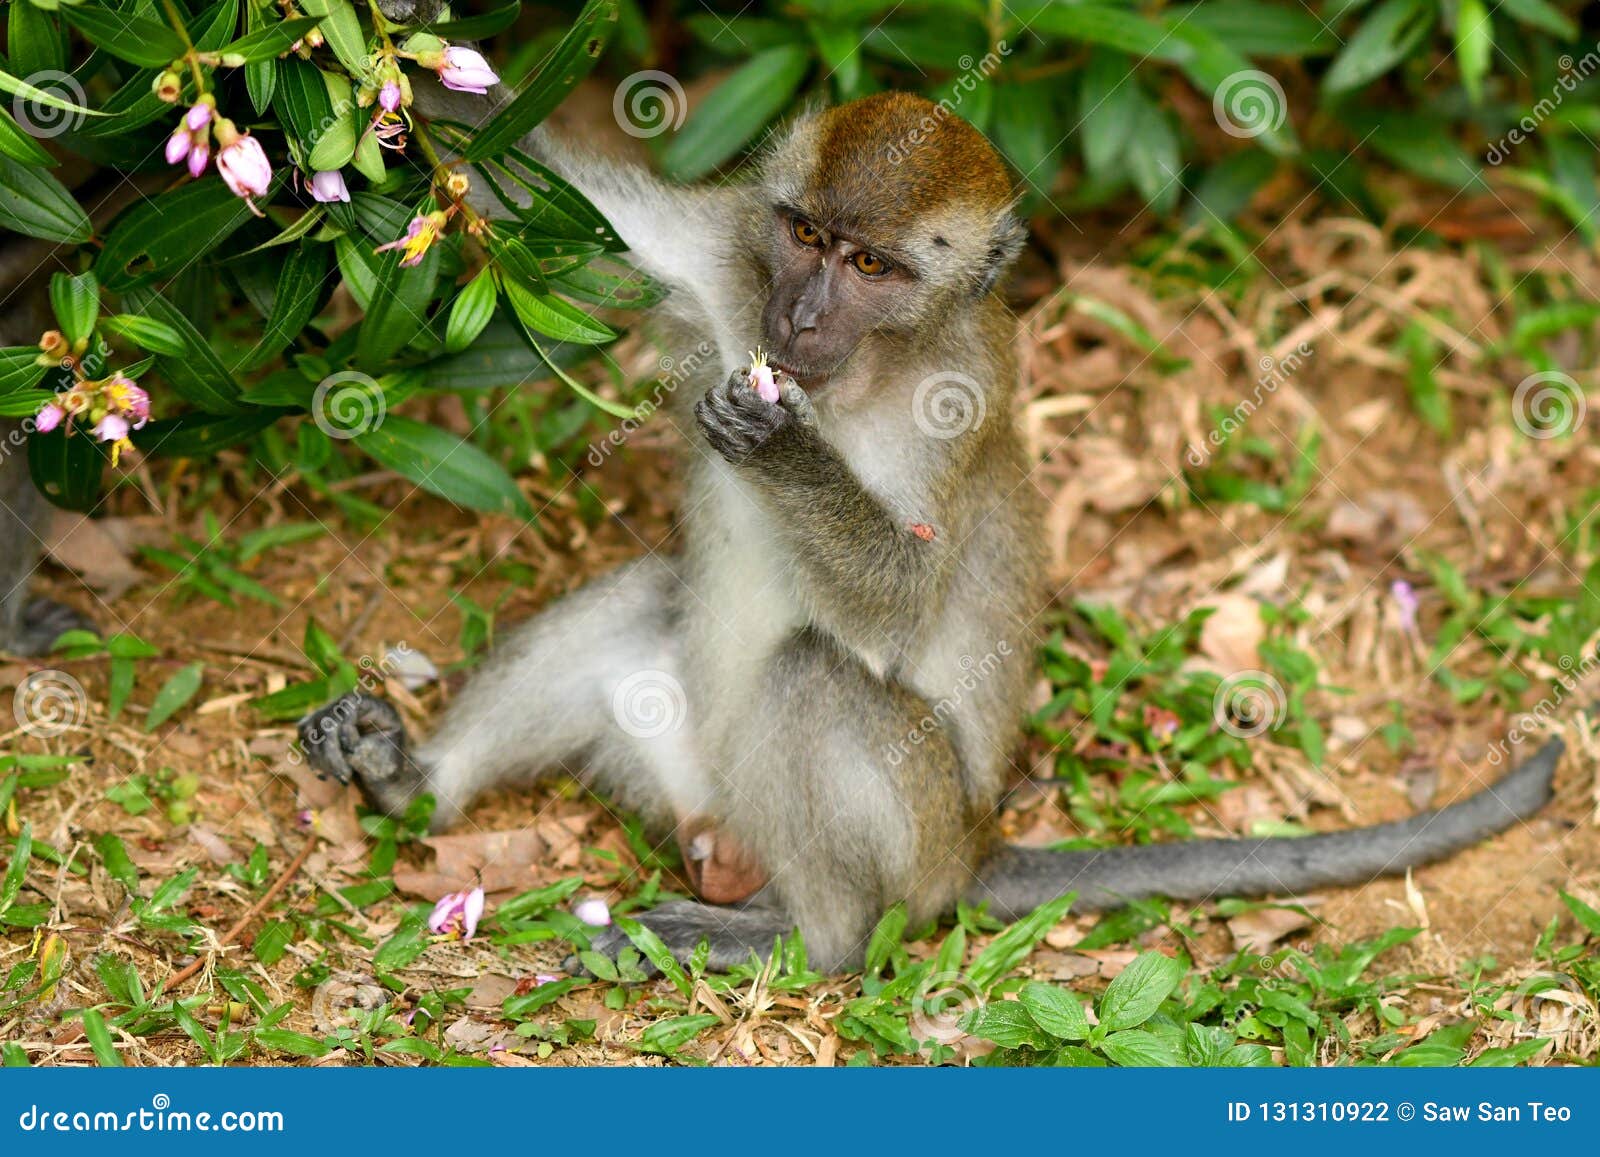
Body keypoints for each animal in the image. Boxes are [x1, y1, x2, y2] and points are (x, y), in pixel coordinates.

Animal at [300, 76, 1562, 974]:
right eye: (807, 237)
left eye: (873, 264)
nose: (798, 316)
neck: (863, 368)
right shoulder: (723, 253)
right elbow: (535, 194)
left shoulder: (955, 395)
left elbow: (899, 598)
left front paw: (785, 451)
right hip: (686, 751)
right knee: (644, 601)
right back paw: (411, 779)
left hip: (913, 839)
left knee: (814, 678)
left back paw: (812, 940)